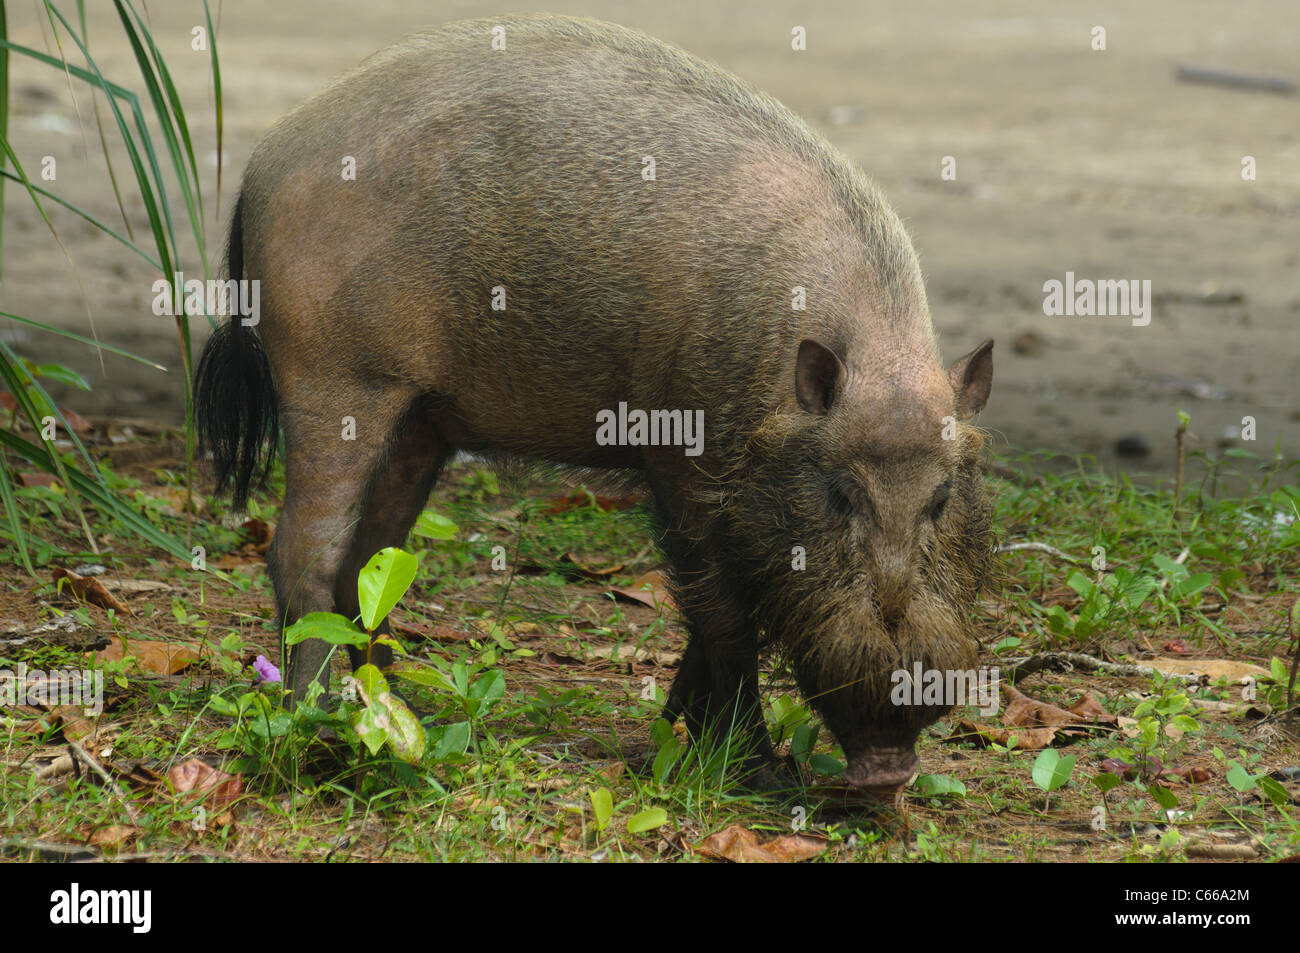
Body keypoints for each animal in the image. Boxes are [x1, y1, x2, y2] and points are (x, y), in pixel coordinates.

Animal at [195, 14, 995, 792]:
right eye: (838, 495)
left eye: (942, 497)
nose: (885, 770)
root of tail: (263, 161)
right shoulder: (676, 453)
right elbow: (722, 613)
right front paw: (757, 771)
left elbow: (718, 615)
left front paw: (678, 737)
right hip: (334, 378)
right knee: (304, 552)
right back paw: (318, 718)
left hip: (420, 420)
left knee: (373, 560)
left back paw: (398, 711)